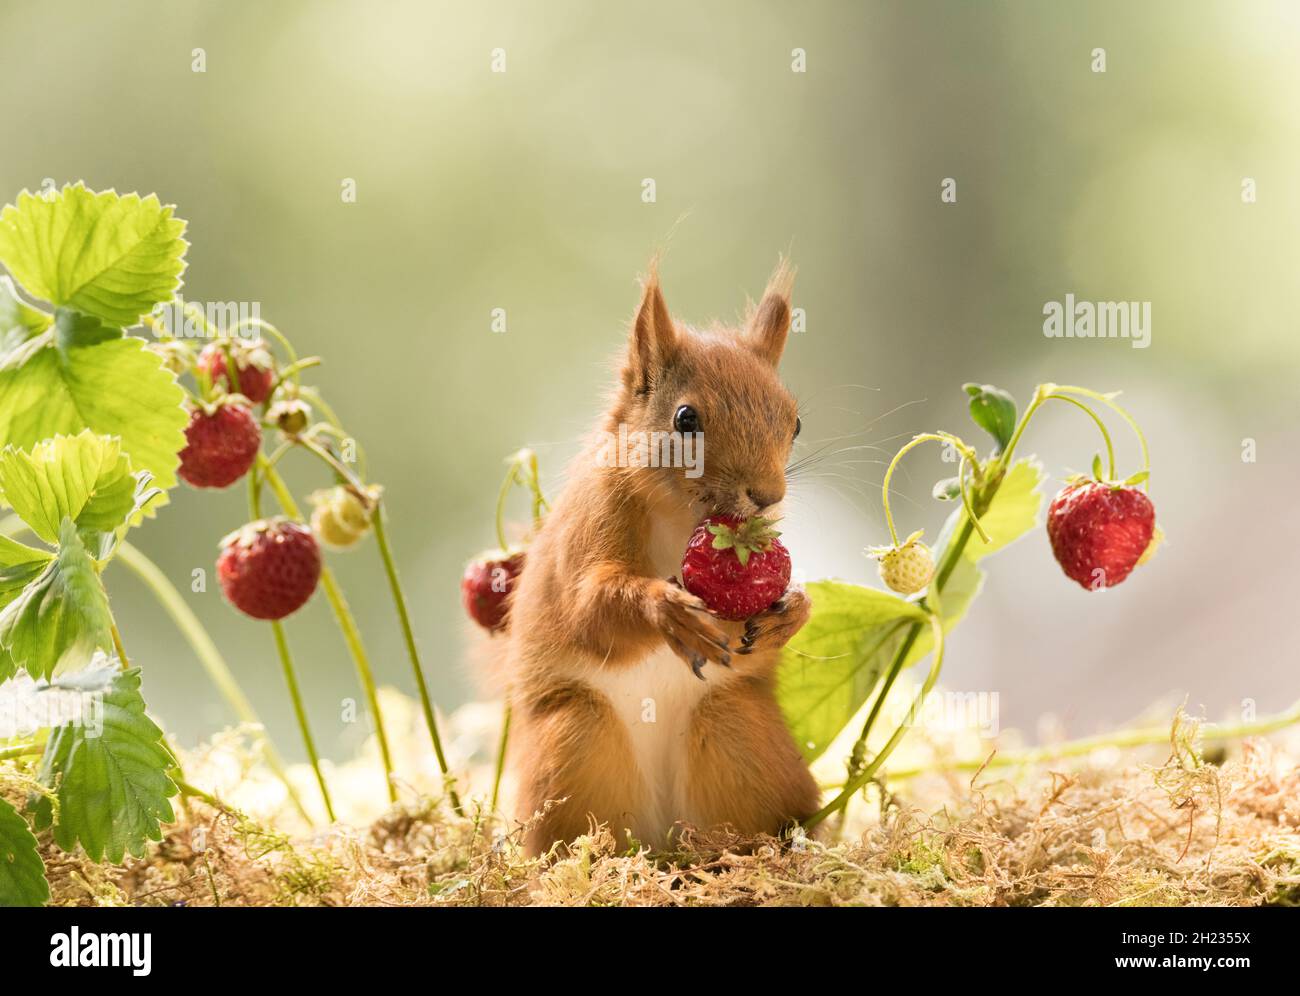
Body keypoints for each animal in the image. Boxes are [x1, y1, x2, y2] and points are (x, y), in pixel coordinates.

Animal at [503, 260, 819, 855]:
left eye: (794, 422)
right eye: (685, 419)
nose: (768, 495)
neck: (681, 514)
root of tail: (664, 839)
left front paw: (791, 611)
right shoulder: (590, 528)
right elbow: (588, 609)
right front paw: (669, 612)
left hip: (739, 729)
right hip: (573, 741)